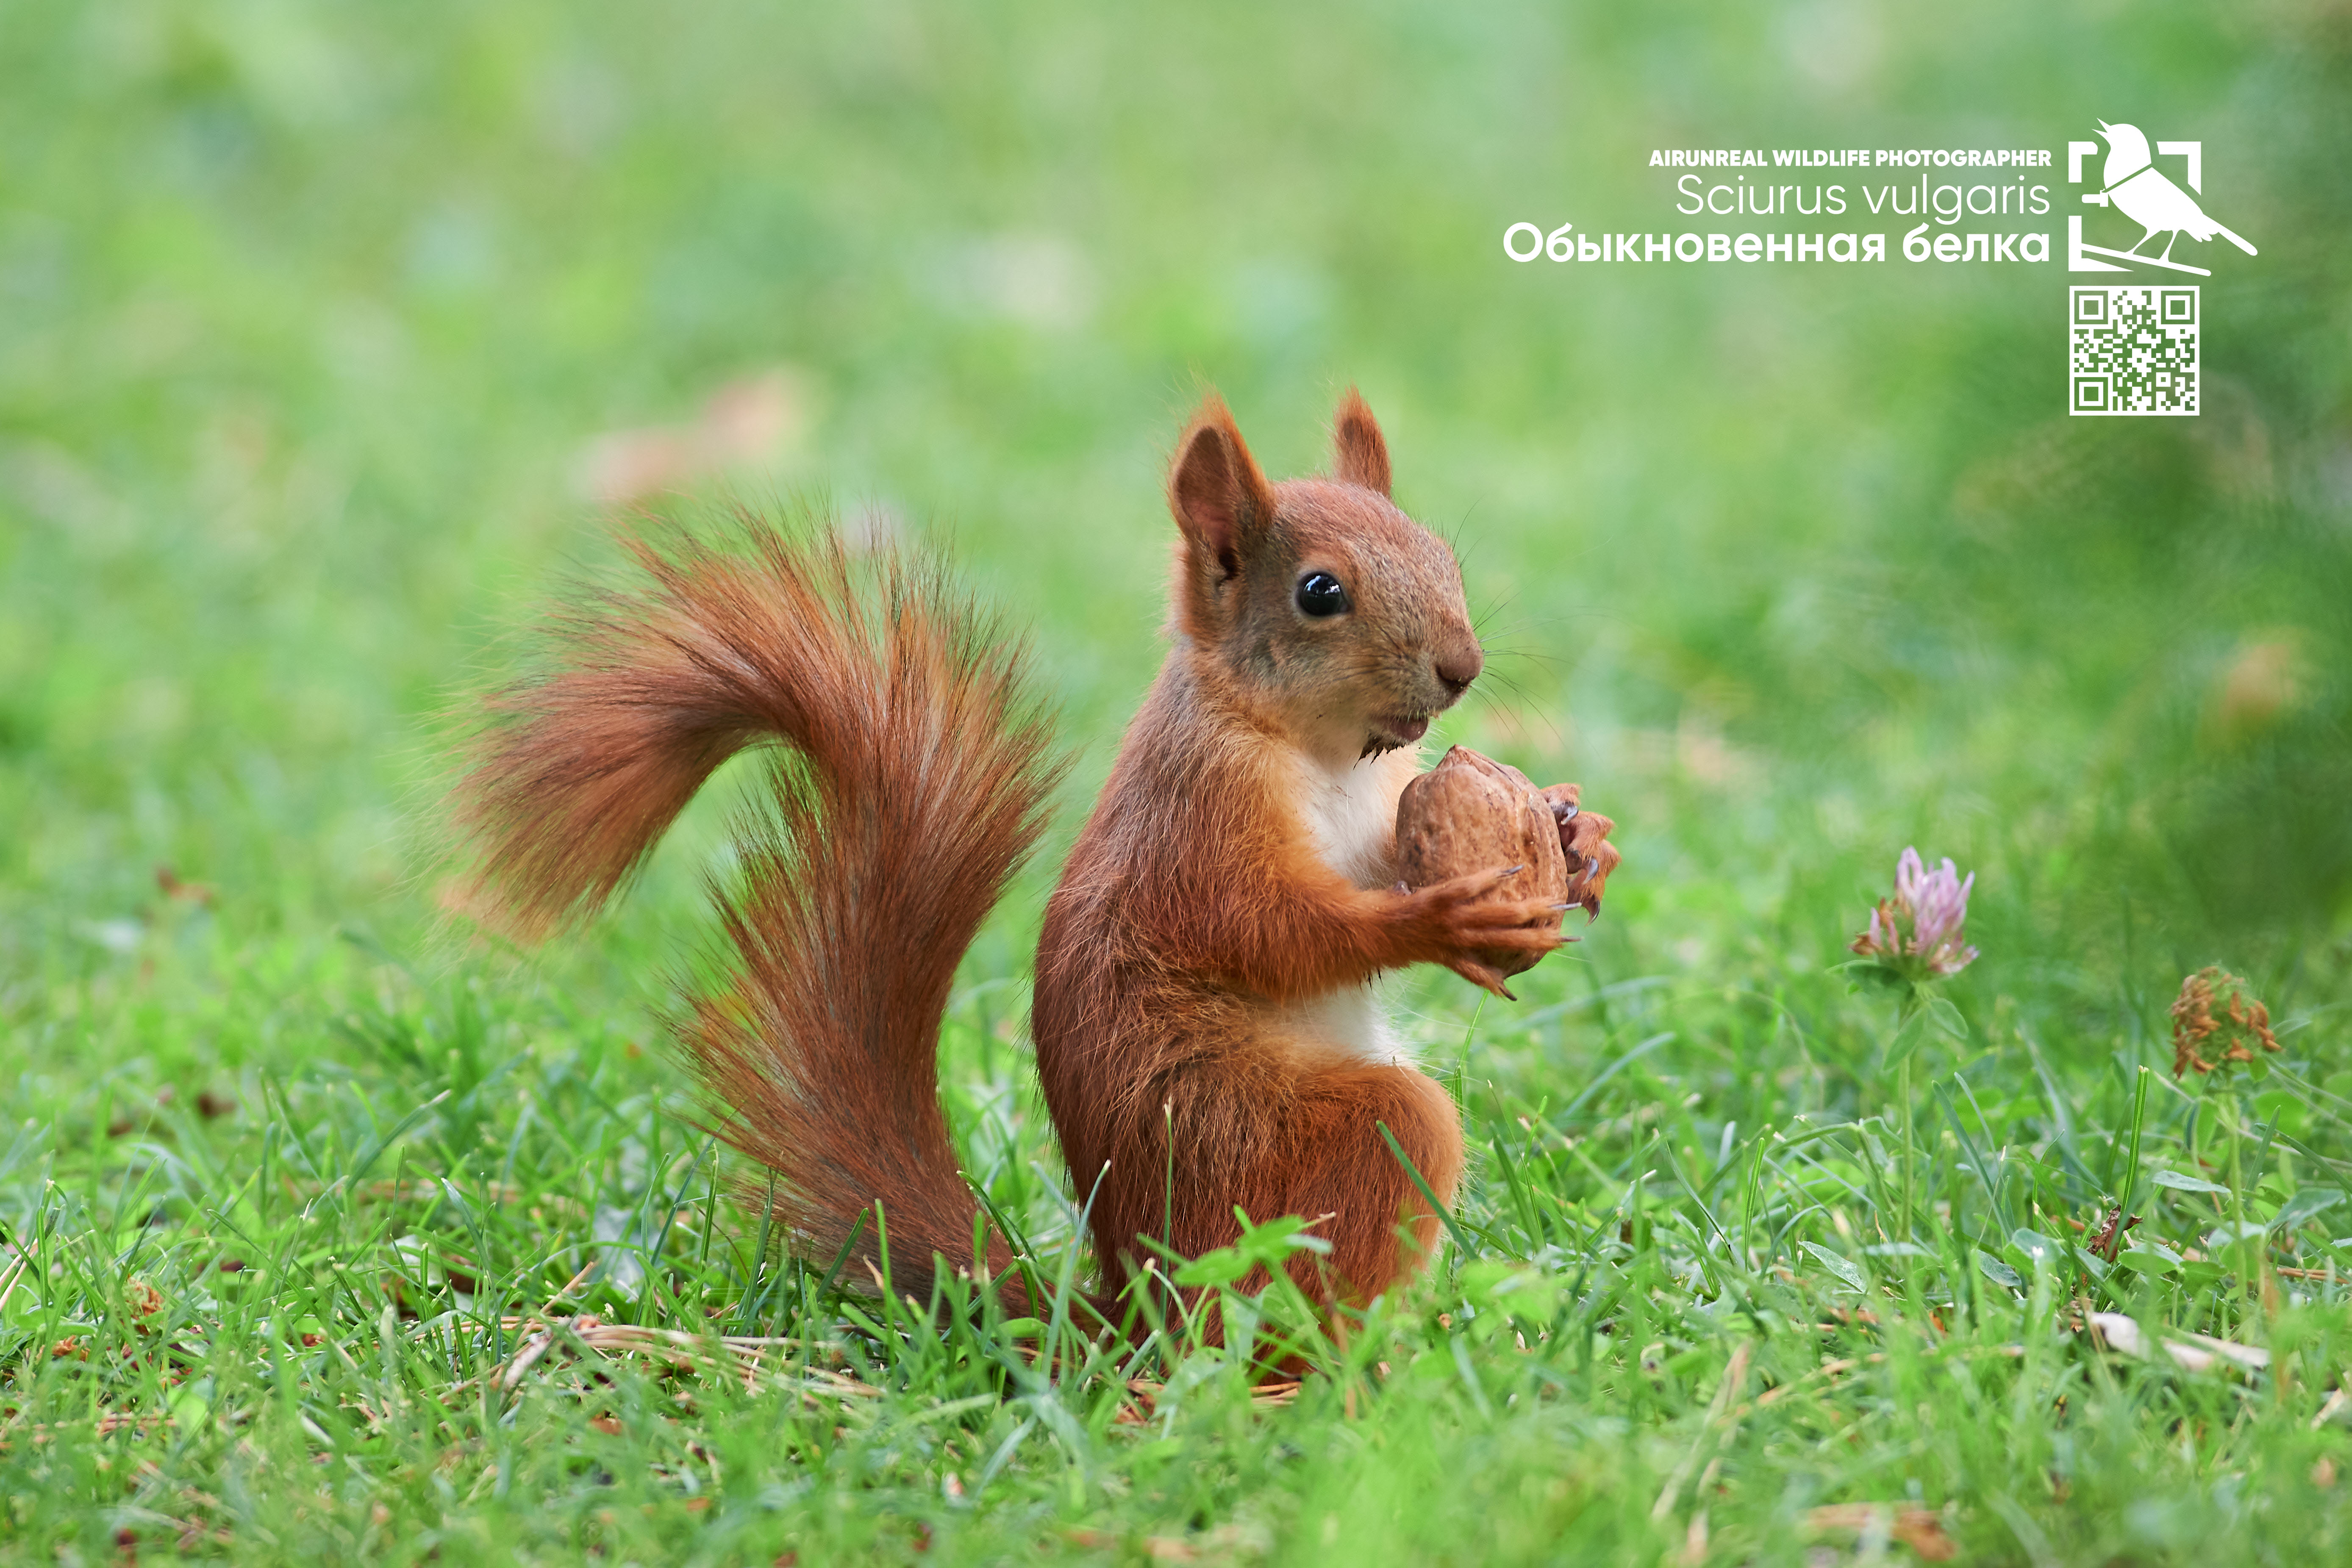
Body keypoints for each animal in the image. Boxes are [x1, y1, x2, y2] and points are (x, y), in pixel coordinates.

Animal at [458, 392, 1618, 1326]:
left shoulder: (1382, 807)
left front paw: (1572, 836)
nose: (1462, 666)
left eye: (1441, 553)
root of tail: (1130, 1304)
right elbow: (1264, 925)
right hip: (1276, 1140)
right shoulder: (1196, 822)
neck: (1322, 750)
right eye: (1320, 593)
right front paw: (1441, 919)